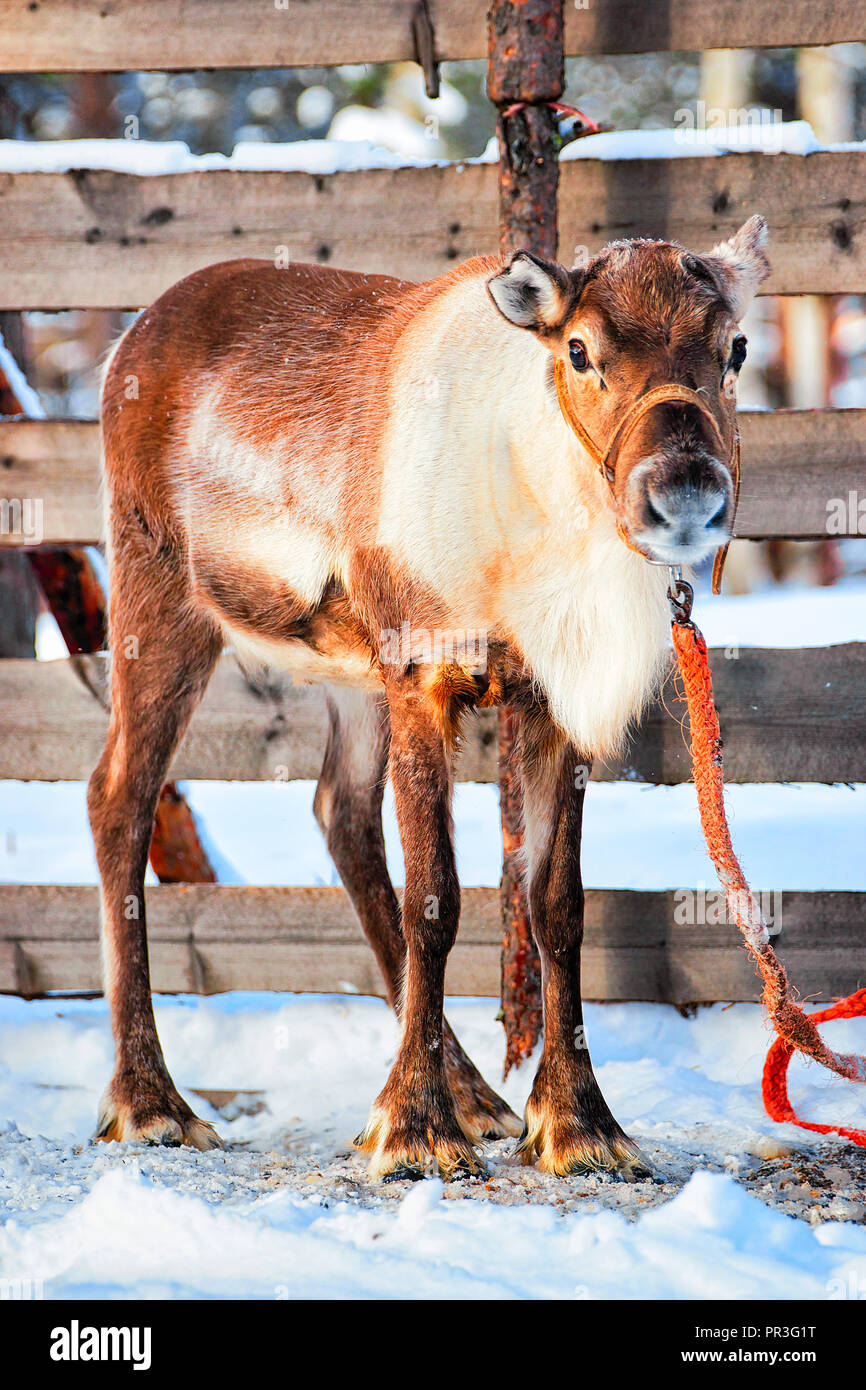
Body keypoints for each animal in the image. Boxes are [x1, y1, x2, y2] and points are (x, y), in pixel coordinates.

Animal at [89, 215, 769, 1181]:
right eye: (579, 349)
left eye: (735, 346)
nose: (684, 492)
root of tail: (130, 336)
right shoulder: (422, 672)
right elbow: (437, 901)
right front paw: (414, 1127)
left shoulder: (546, 701)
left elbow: (558, 907)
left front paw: (577, 1124)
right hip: (160, 595)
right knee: (120, 797)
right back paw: (152, 1102)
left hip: (350, 671)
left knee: (338, 811)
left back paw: (477, 1094)